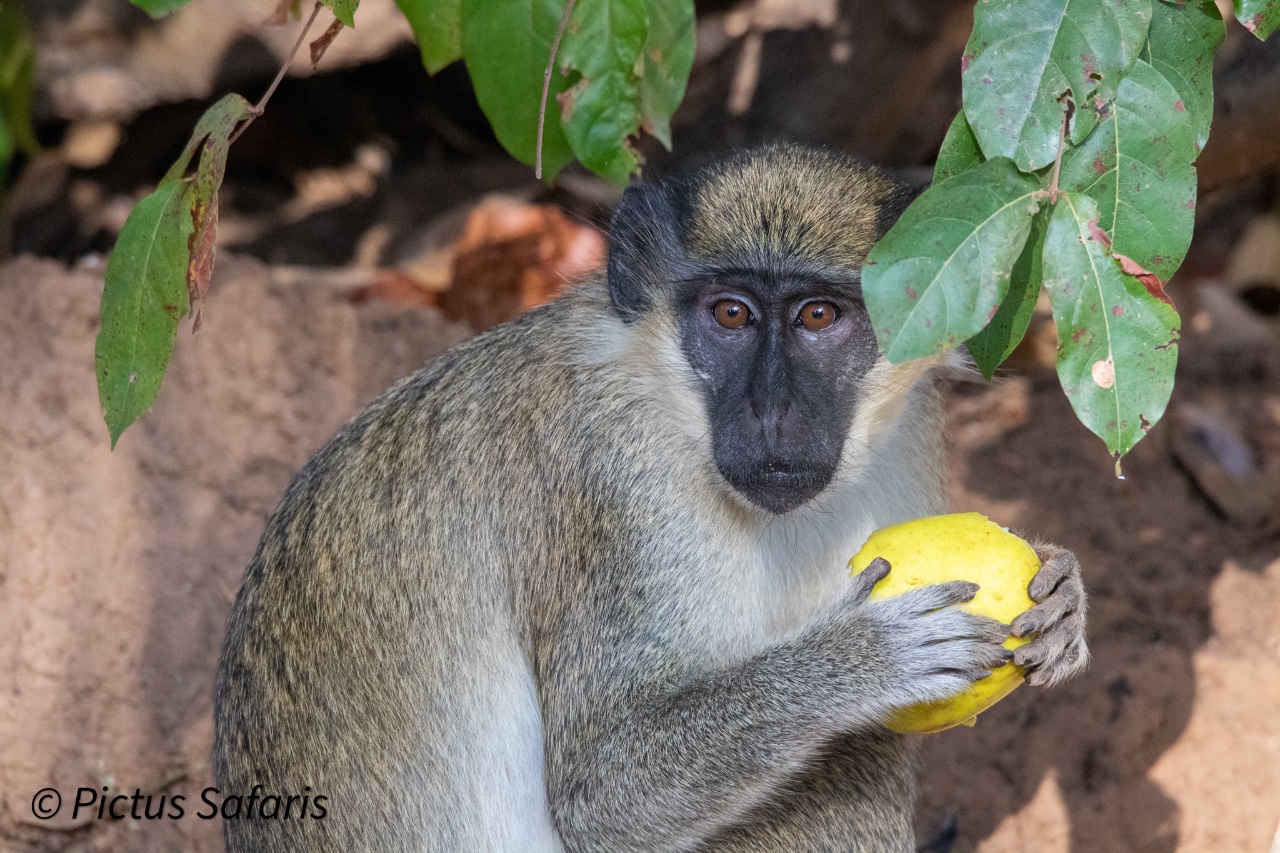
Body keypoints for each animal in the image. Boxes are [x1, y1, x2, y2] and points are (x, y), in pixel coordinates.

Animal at [213, 144, 1088, 852]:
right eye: (730, 314)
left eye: (819, 315)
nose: (770, 408)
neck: (668, 396)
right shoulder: (617, 481)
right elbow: (602, 793)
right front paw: (858, 660)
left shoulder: (909, 434)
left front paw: (1065, 598)